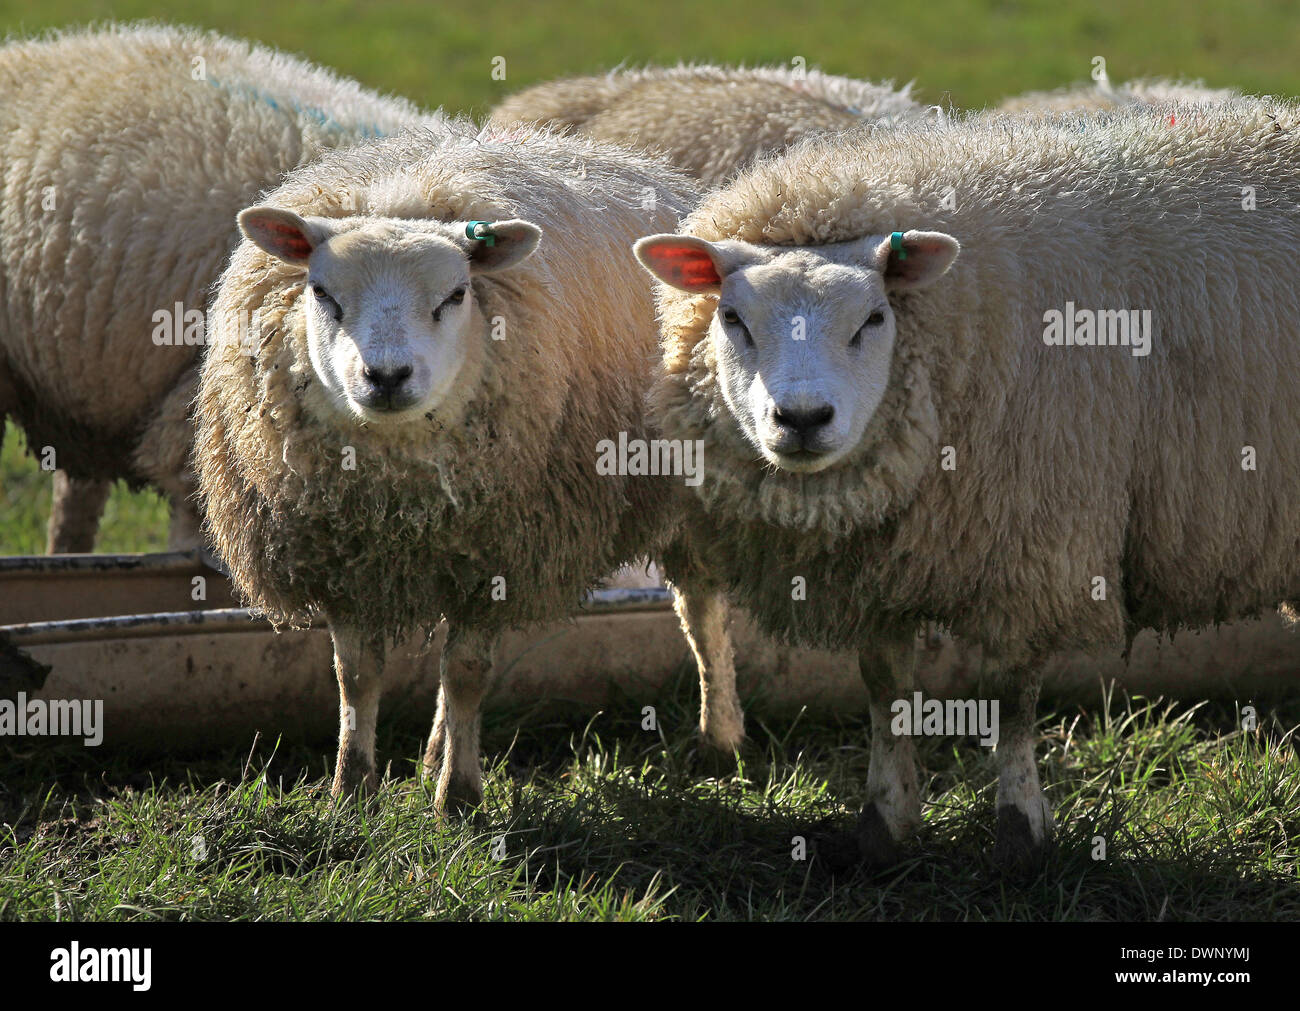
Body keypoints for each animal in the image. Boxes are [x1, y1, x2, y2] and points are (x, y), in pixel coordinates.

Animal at [193, 125, 736, 809]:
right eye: (322, 293)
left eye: (455, 296)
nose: (386, 376)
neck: (396, 481)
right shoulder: (346, 557)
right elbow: (357, 675)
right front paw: (352, 789)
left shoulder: (501, 552)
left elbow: (468, 673)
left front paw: (459, 797)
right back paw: (429, 755)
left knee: (702, 612)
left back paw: (719, 740)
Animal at [633, 98, 1300, 870]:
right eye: (732, 318)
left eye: (874, 318)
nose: (801, 419)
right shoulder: (876, 569)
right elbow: (885, 688)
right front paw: (883, 825)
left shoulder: (1029, 547)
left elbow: (1012, 700)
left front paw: (1019, 834)